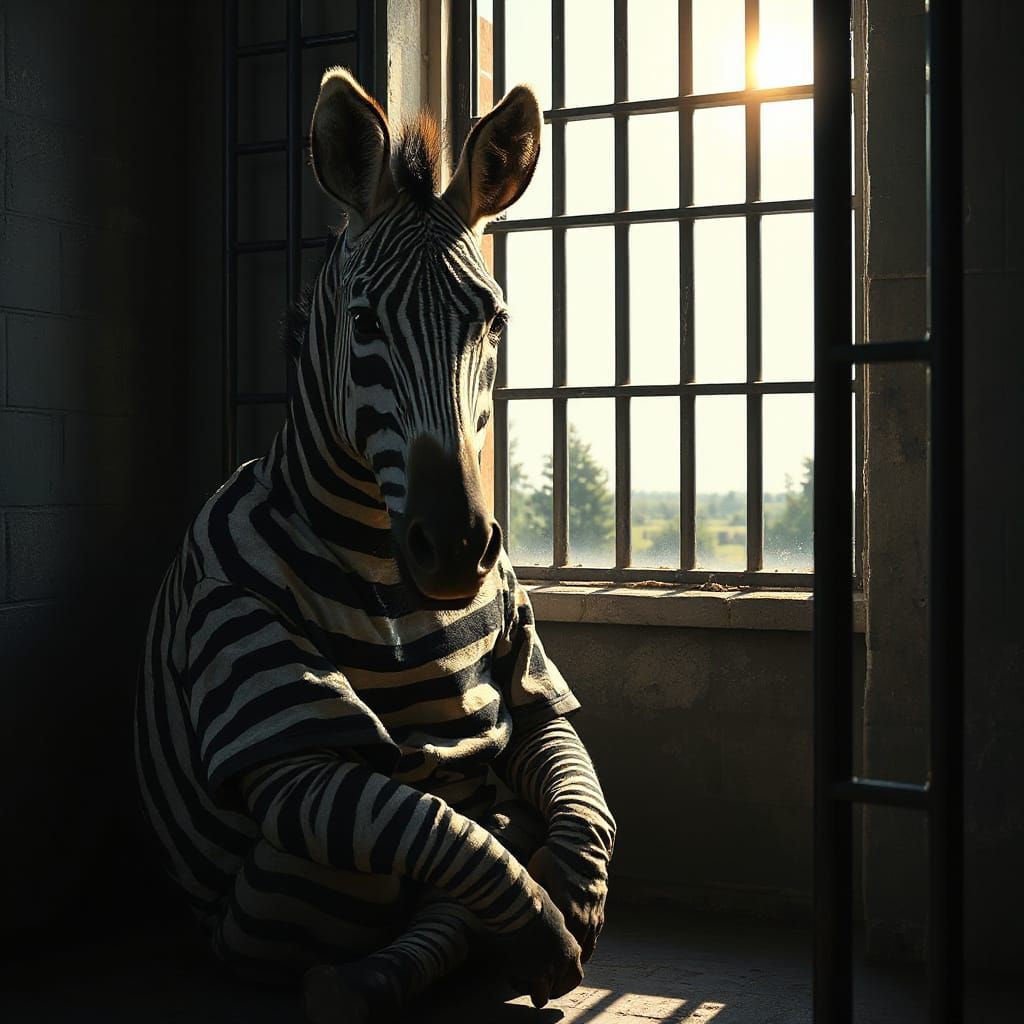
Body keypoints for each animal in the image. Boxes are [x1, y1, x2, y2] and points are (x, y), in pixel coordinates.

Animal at [134, 68, 615, 1023]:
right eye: (363, 322)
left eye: (495, 322)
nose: (457, 548)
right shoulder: (284, 732)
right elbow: (439, 831)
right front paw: (546, 933)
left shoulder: (529, 686)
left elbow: (573, 786)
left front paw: (574, 892)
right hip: (287, 886)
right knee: (431, 854)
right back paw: (358, 980)